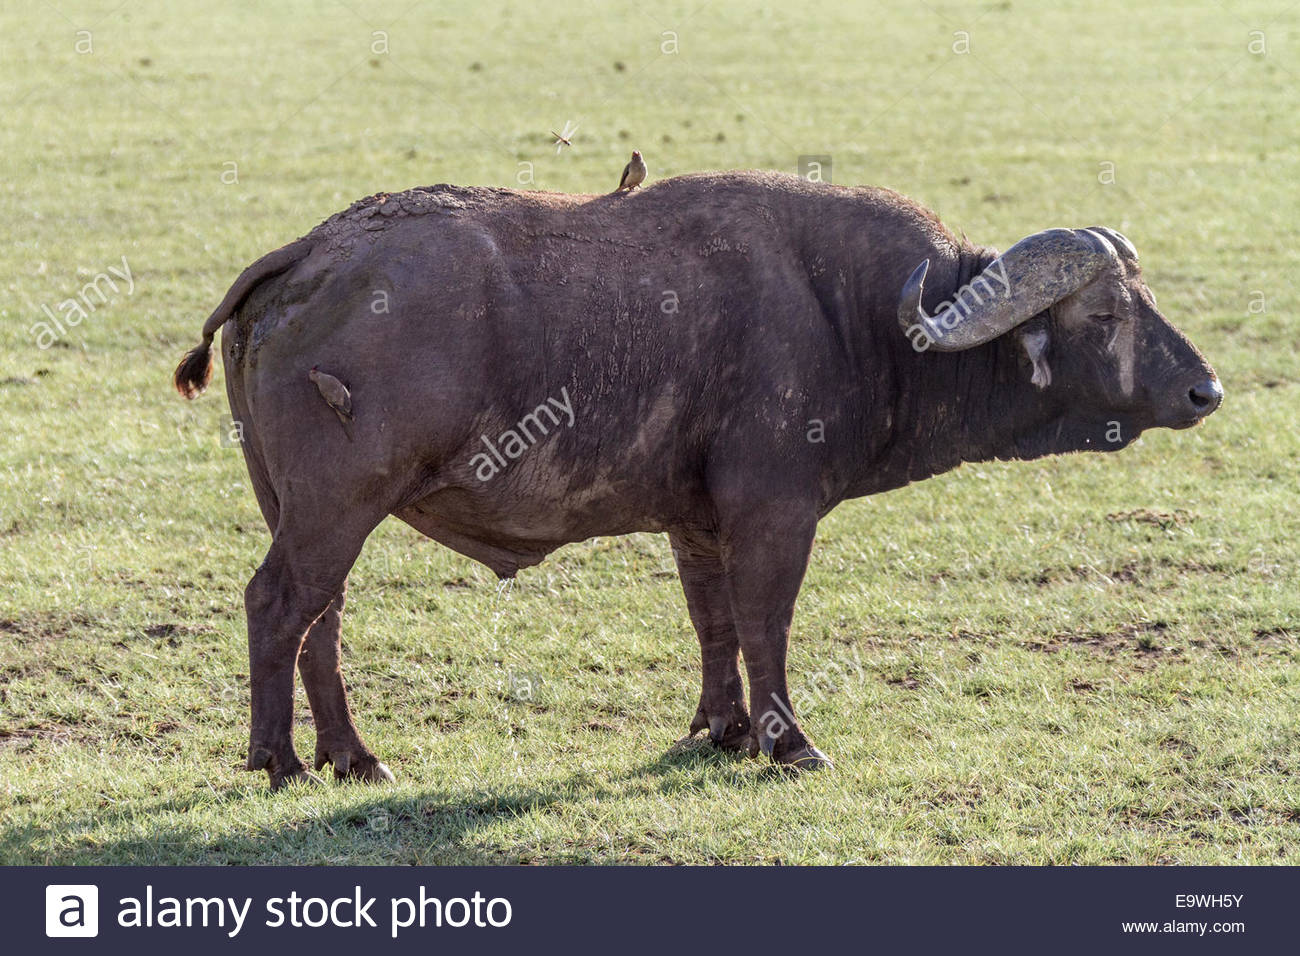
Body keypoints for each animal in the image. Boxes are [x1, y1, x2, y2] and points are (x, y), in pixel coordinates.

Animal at [174, 171, 1222, 788]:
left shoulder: (697, 524)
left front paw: (722, 729)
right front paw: (787, 739)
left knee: (320, 620)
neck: (858, 316)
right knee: (277, 605)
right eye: (1106, 315)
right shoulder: (775, 516)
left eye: (1145, 296)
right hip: (336, 509)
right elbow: (765, 625)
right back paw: (279, 760)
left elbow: (713, 622)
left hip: (308, 510)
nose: (1205, 389)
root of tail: (305, 255)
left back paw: (351, 757)